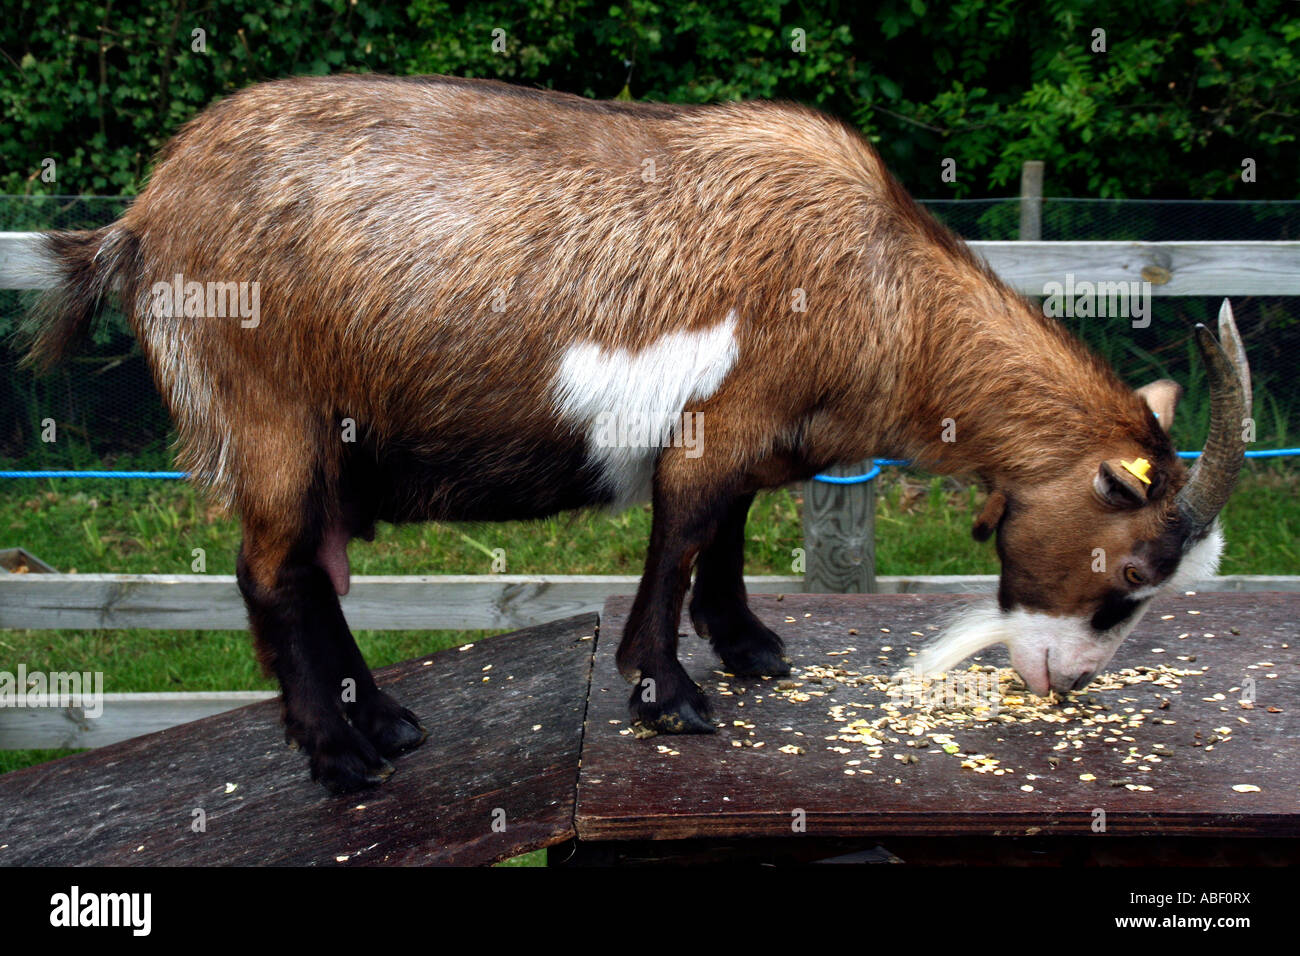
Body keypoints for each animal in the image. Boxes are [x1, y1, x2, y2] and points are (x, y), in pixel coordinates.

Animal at [24, 74, 1251, 792]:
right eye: (1131, 570)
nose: (1063, 684)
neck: (881, 292)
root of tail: (139, 220)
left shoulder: (760, 434)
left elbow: (732, 531)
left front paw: (749, 647)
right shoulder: (717, 424)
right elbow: (684, 532)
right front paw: (671, 696)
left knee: (308, 570)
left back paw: (388, 723)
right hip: (266, 408)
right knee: (271, 573)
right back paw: (340, 755)